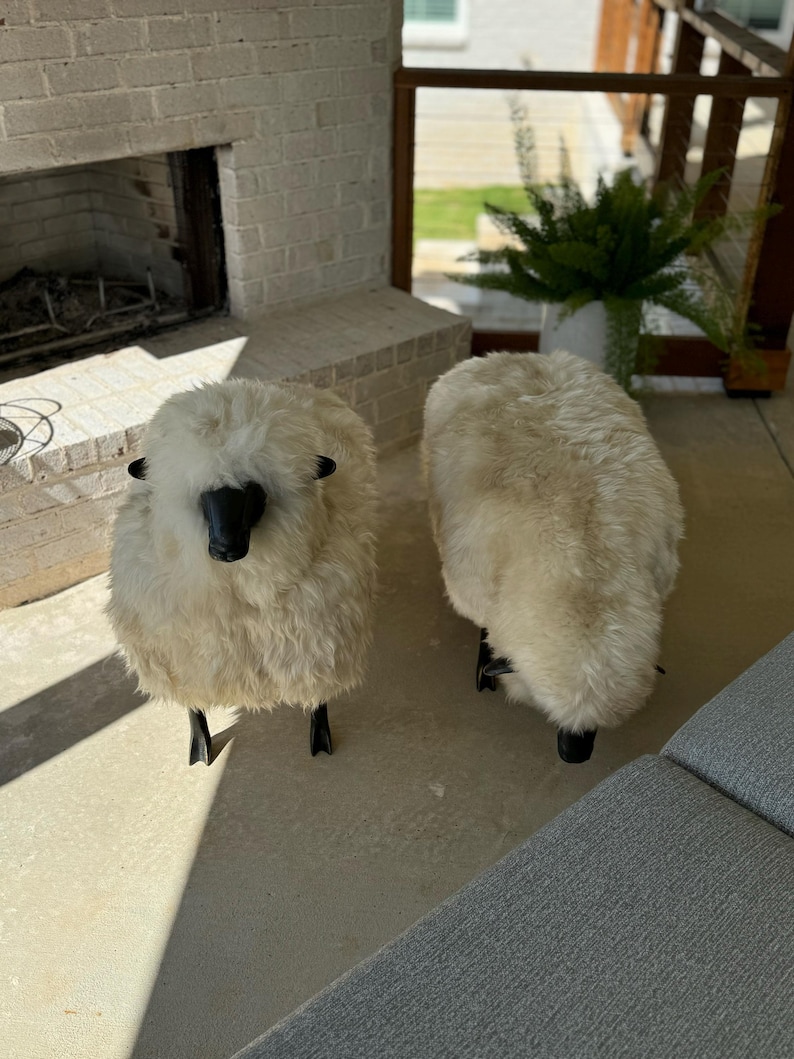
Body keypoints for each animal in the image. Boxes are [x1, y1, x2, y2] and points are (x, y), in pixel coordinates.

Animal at [106, 377, 377, 766]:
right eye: (202, 495)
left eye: (254, 492)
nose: (225, 548)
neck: (237, 597)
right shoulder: (181, 660)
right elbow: (194, 708)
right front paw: (200, 749)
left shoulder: (319, 646)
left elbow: (319, 699)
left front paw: (320, 738)